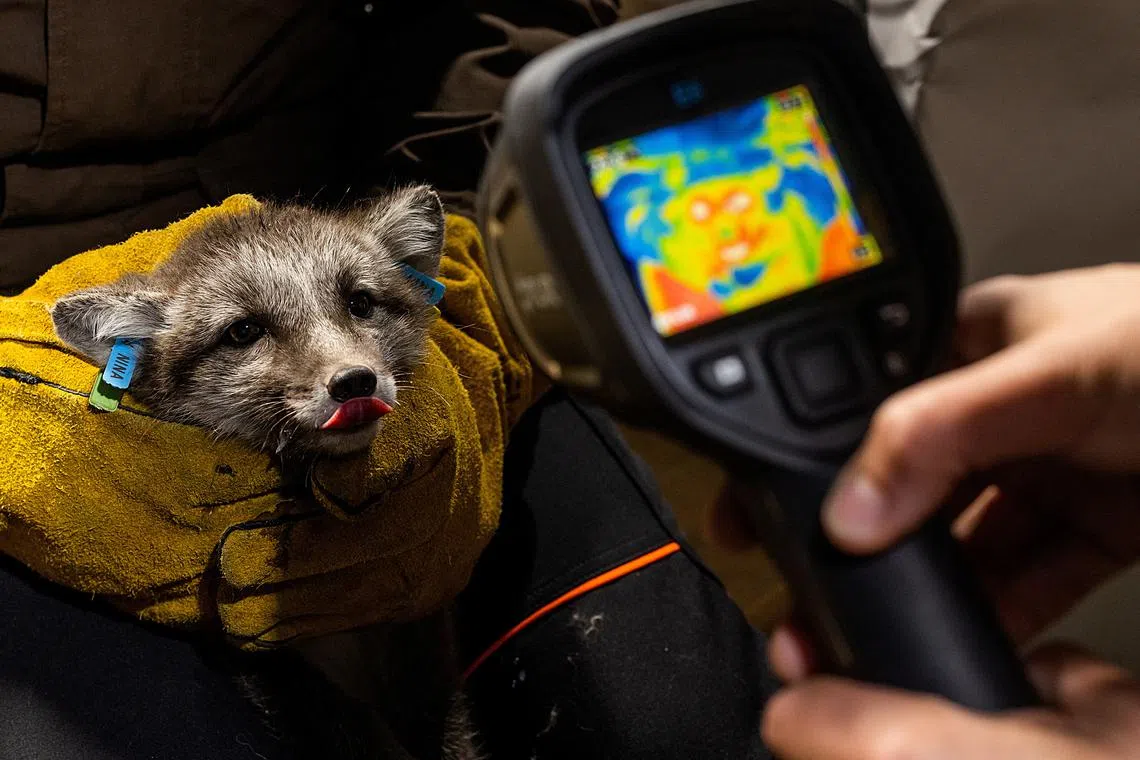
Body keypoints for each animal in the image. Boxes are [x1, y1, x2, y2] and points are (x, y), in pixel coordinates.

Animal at [50, 186, 483, 760]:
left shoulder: (420, 626)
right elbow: (352, 728)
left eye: (359, 302)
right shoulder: (272, 660)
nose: (355, 382)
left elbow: (440, 722)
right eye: (245, 331)